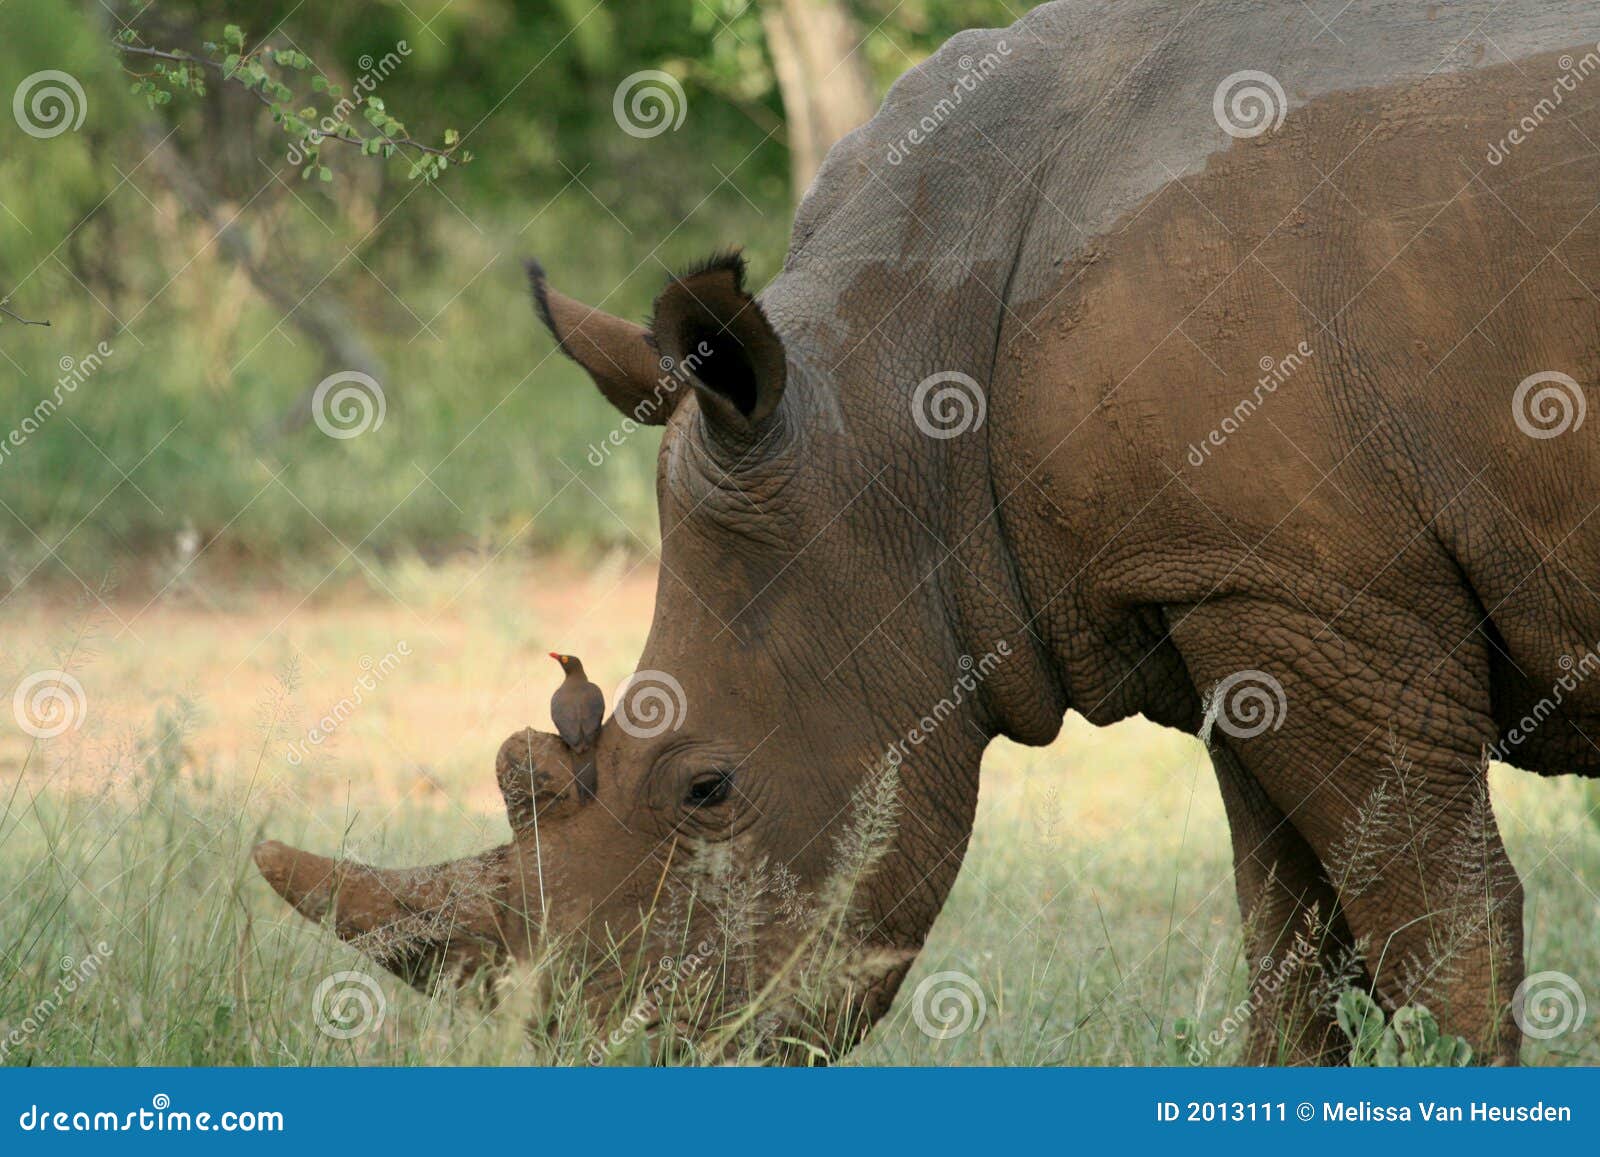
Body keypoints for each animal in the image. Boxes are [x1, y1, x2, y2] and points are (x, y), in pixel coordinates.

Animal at [256, 0, 1600, 1064]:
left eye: (708, 787)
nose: (607, 1053)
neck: (897, 407)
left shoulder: (1317, 593)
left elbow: (1443, 937)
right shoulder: (1241, 583)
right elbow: (1297, 957)